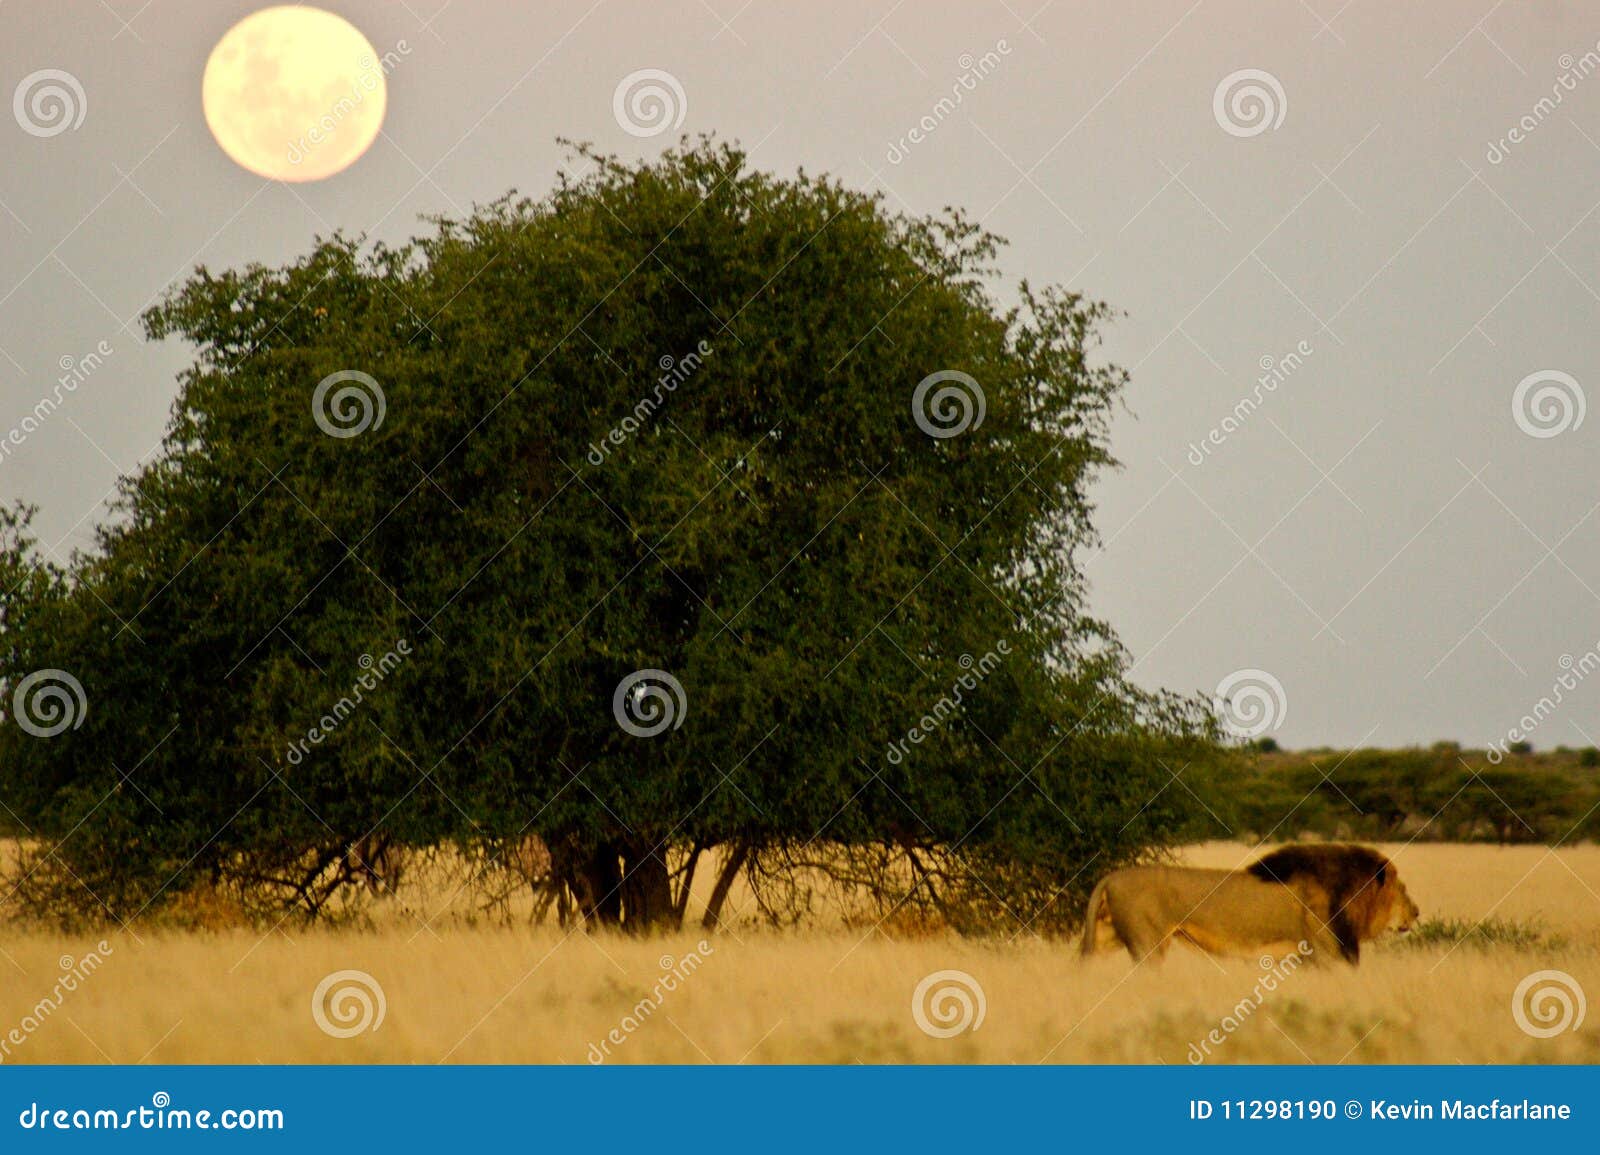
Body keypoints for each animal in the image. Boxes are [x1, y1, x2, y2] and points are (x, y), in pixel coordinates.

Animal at [1079, 843, 1419, 966]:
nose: (1416, 912)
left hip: (1106, 937)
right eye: (1402, 889)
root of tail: (1109, 878)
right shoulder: (1328, 952)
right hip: (1148, 944)